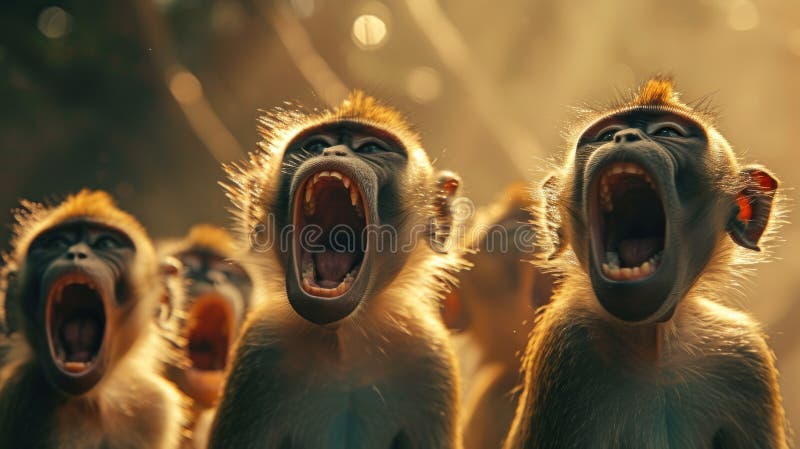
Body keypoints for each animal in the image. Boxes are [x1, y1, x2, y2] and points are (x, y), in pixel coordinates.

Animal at [0, 189, 185, 449]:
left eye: (106, 244)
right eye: (57, 244)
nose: (76, 254)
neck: (93, 402)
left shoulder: (155, 406)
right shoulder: (23, 397)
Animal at [208, 92, 467, 449]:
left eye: (371, 148)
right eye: (316, 145)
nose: (334, 153)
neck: (343, 340)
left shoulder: (430, 356)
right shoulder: (260, 352)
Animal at [503, 77, 791, 449]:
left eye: (667, 132)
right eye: (606, 135)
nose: (625, 137)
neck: (655, 342)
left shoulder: (743, 356)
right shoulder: (569, 345)